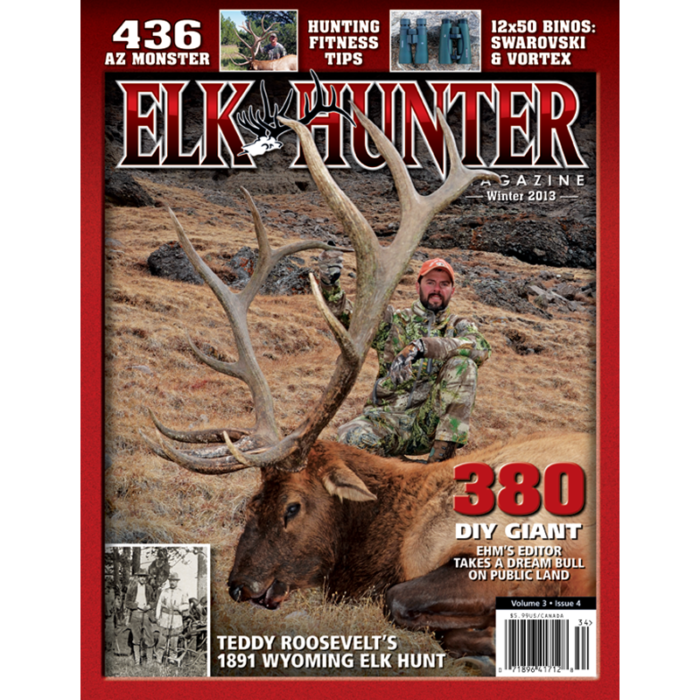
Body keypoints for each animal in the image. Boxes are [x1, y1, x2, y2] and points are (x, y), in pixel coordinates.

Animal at [141, 101, 596, 670]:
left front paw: (484, 647)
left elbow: (395, 599)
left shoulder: (520, 553)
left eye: (293, 506)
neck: (391, 535)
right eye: (250, 502)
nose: (240, 586)